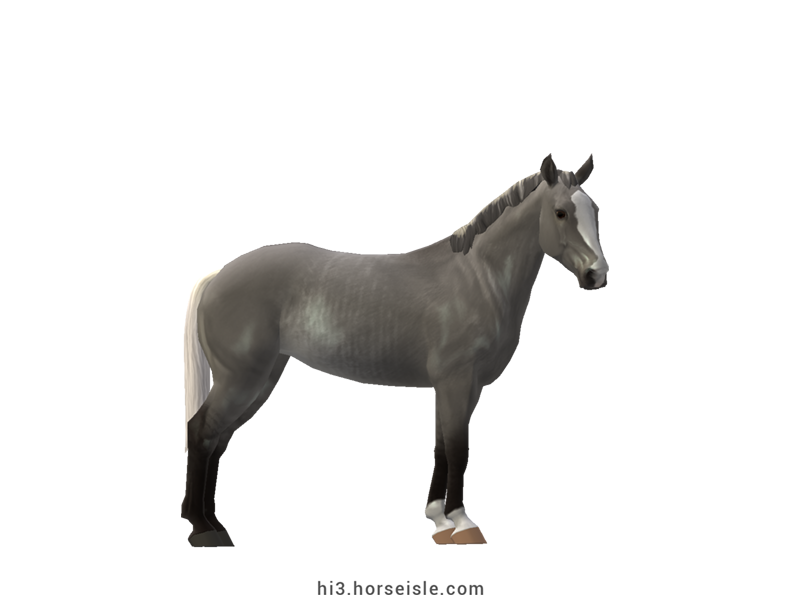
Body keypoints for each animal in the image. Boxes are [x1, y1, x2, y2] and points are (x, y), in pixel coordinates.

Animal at [182, 153, 608, 542]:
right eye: (561, 213)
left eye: (590, 209)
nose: (597, 274)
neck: (480, 279)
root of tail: (217, 277)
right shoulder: (456, 380)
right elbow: (459, 448)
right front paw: (463, 522)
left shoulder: (456, 384)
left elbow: (442, 446)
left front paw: (437, 519)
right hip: (240, 379)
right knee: (200, 432)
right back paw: (201, 527)